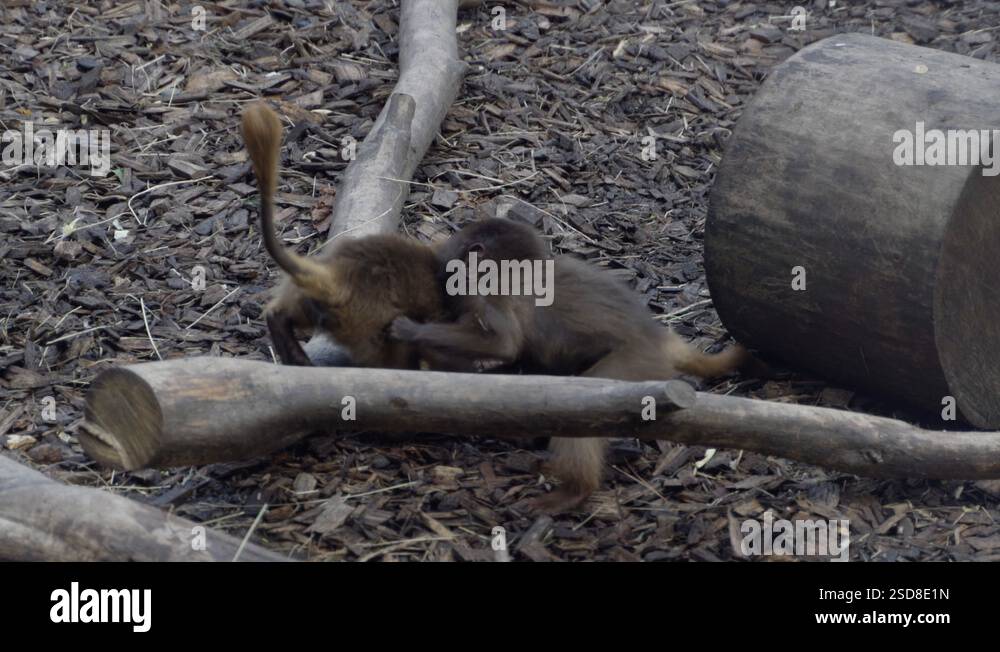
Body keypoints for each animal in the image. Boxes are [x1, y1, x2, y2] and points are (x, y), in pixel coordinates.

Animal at [390, 218, 748, 512]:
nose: (442, 254)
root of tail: (660, 337)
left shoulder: (494, 294)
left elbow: (503, 344)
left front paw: (412, 332)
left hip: (636, 363)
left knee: (586, 413)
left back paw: (574, 491)